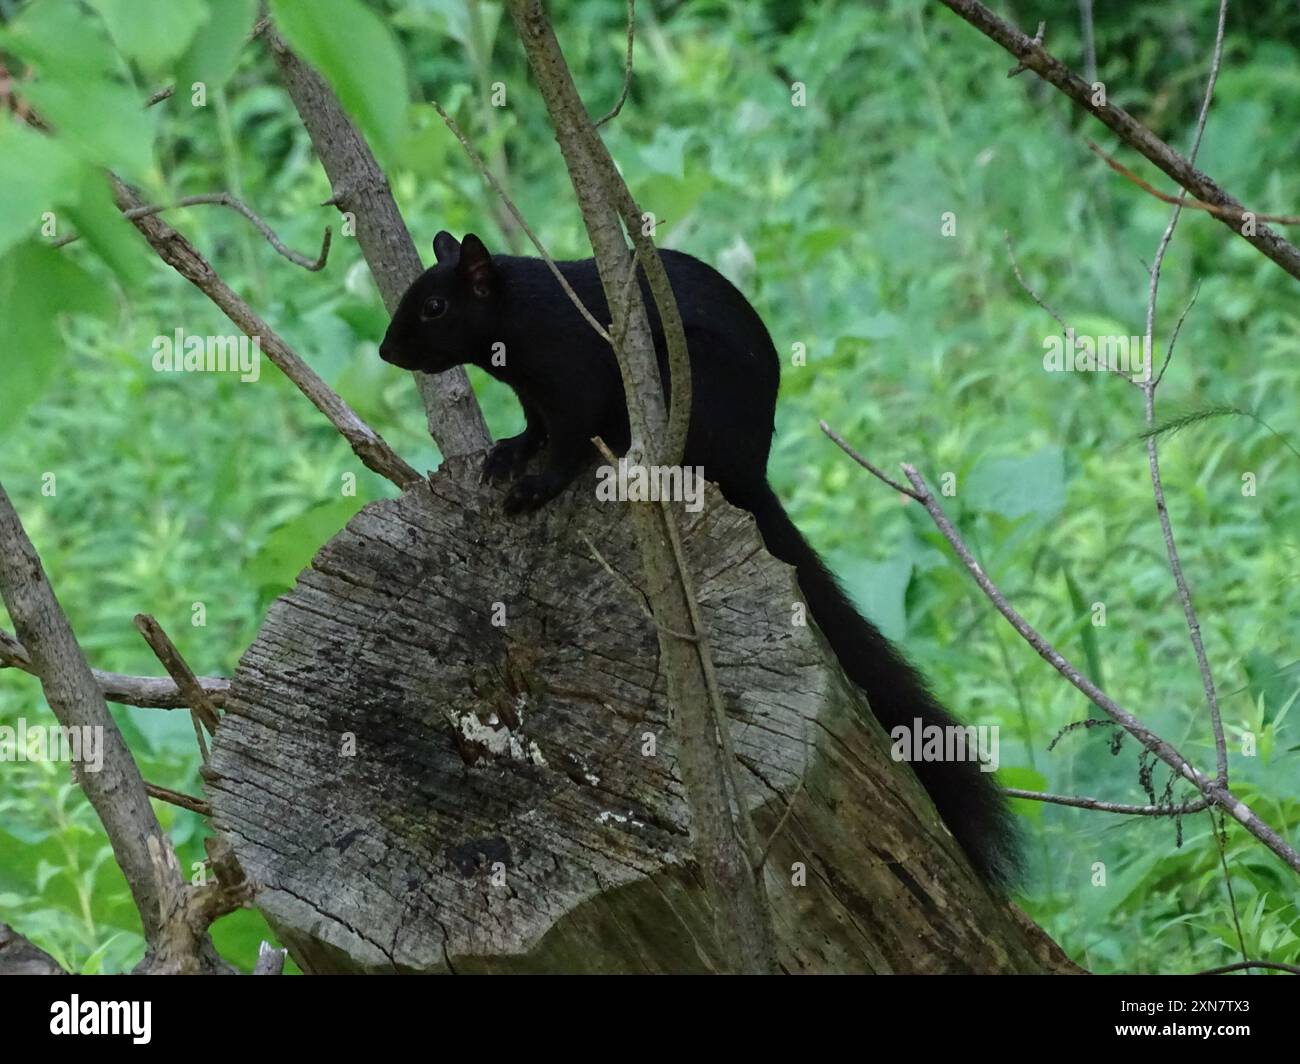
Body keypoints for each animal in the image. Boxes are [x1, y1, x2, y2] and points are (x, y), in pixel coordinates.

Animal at [380, 231, 1019, 889]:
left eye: (434, 308)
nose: (386, 350)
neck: (518, 319)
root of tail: (750, 472)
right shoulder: (535, 393)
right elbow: (537, 430)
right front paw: (509, 452)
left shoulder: (576, 375)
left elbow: (567, 441)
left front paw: (538, 487)